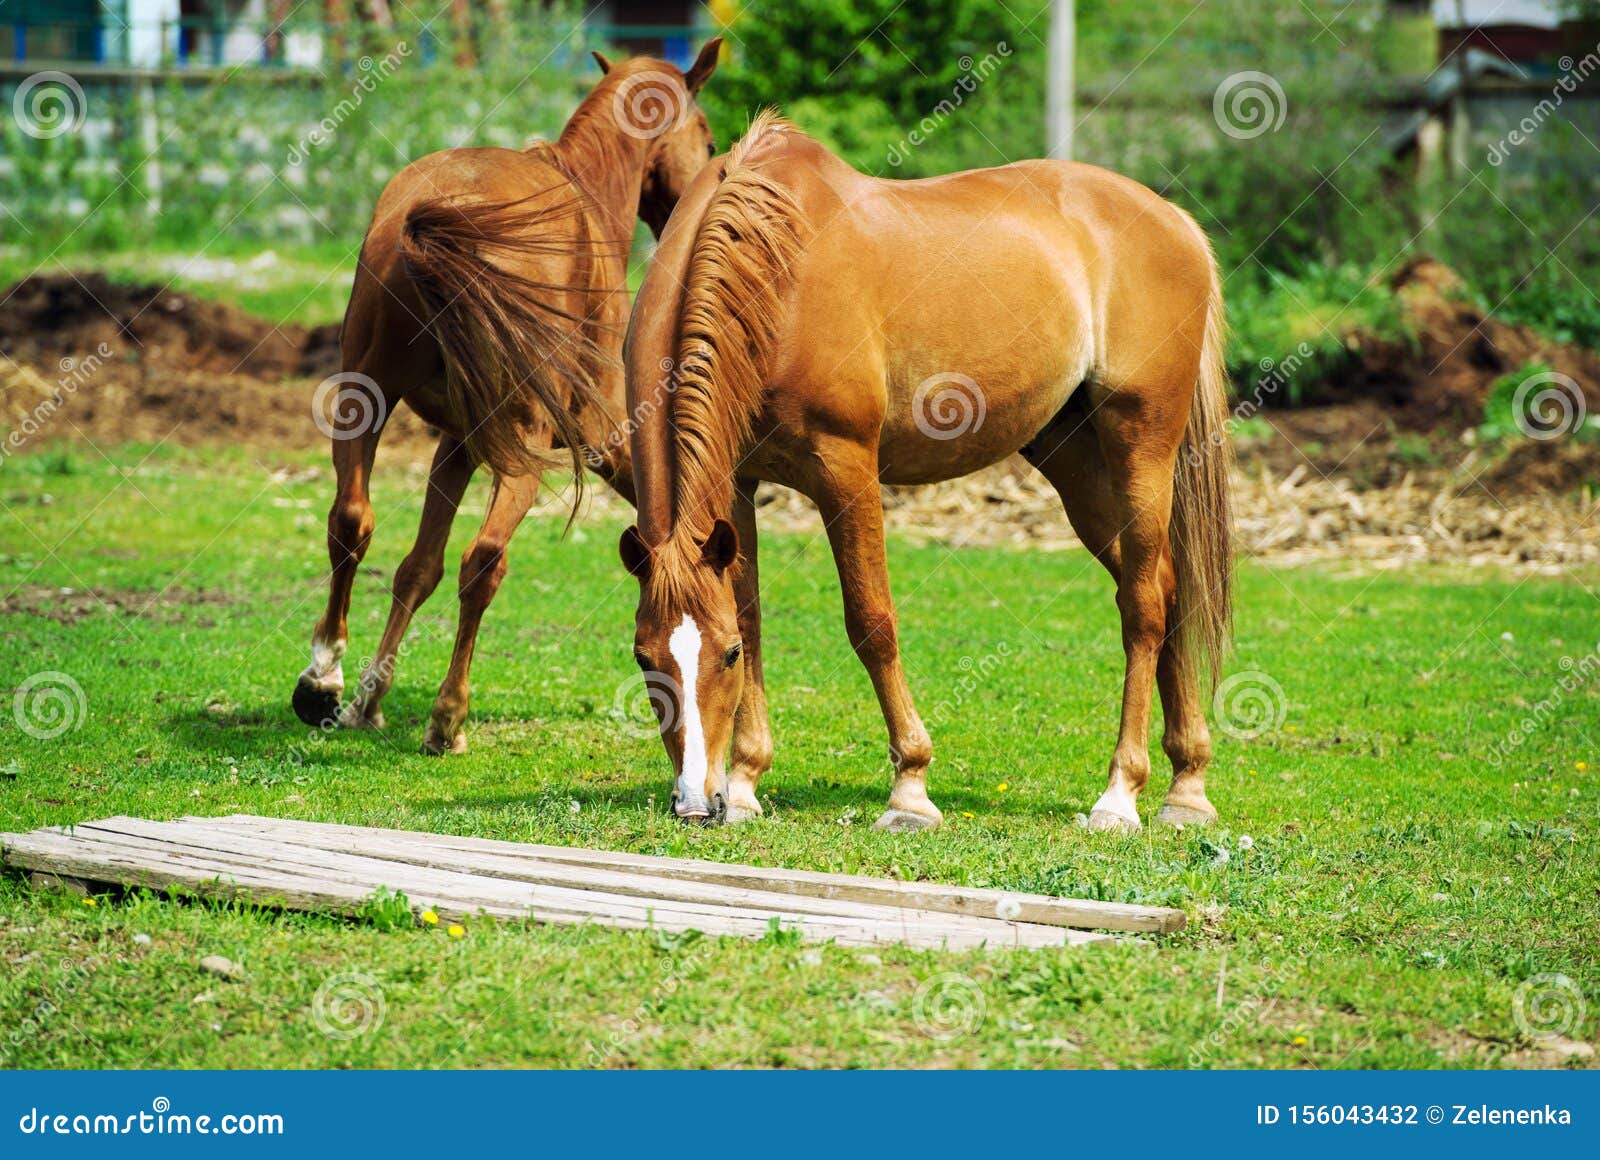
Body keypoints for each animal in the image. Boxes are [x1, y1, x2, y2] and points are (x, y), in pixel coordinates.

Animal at [291, 41, 723, 755]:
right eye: (708, 138)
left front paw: (369, 699)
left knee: (352, 522)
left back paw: (322, 678)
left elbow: (418, 567)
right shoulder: (602, 432)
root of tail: (437, 215)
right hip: (522, 448)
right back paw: (448, 717)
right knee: (483, 561)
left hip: (366, 405)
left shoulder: (458, 441)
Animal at [618, 111, 1233, 833]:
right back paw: (1186, 785)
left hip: (1142, 444)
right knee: (1167, 587)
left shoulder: (845, 468)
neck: (774, 278)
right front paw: (744, 783)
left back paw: (1120, 794)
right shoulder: (738, 488)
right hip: (1073, 458)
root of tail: (1173, 218)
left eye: (725, 657)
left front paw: (909, 787)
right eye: (644, 657)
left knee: (1143, 606)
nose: (694, 802)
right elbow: (753, 614)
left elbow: (871, 623)